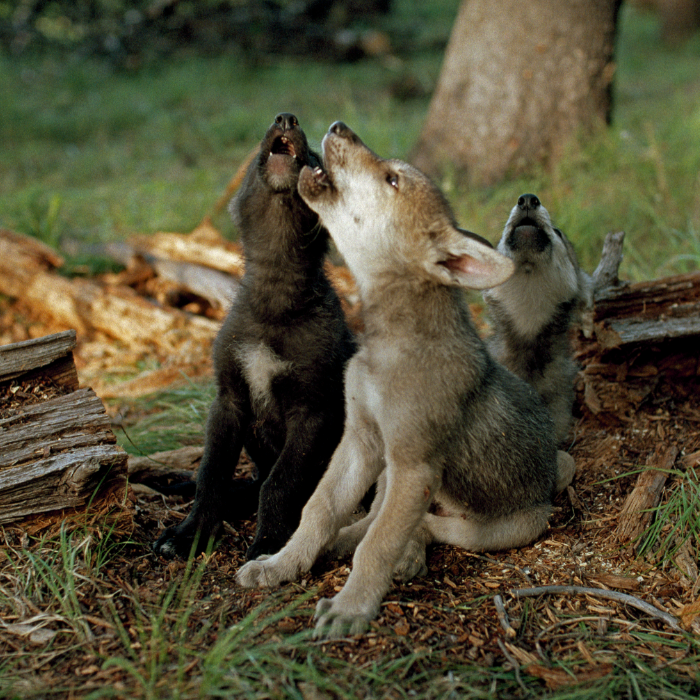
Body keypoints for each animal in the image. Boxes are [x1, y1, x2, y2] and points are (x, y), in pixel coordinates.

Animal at [153, 113, 356, 562]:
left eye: (315, 159)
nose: (286, 117)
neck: (276, 297)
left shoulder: (312, 414)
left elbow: (280, 484)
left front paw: (268, 544)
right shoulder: (228, 402)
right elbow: (210, 475)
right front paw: (189, 533)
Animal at [236, 122, 576, 638]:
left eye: (392, 180)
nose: (336, 126)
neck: (387, 346)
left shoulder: (413, 466)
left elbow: (377, 546)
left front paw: (351, 608)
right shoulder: (360, 443)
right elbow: (318, 510)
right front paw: (282, 564)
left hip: (499, 526)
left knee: (422, 528)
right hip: (390, 476)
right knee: (376, 521)